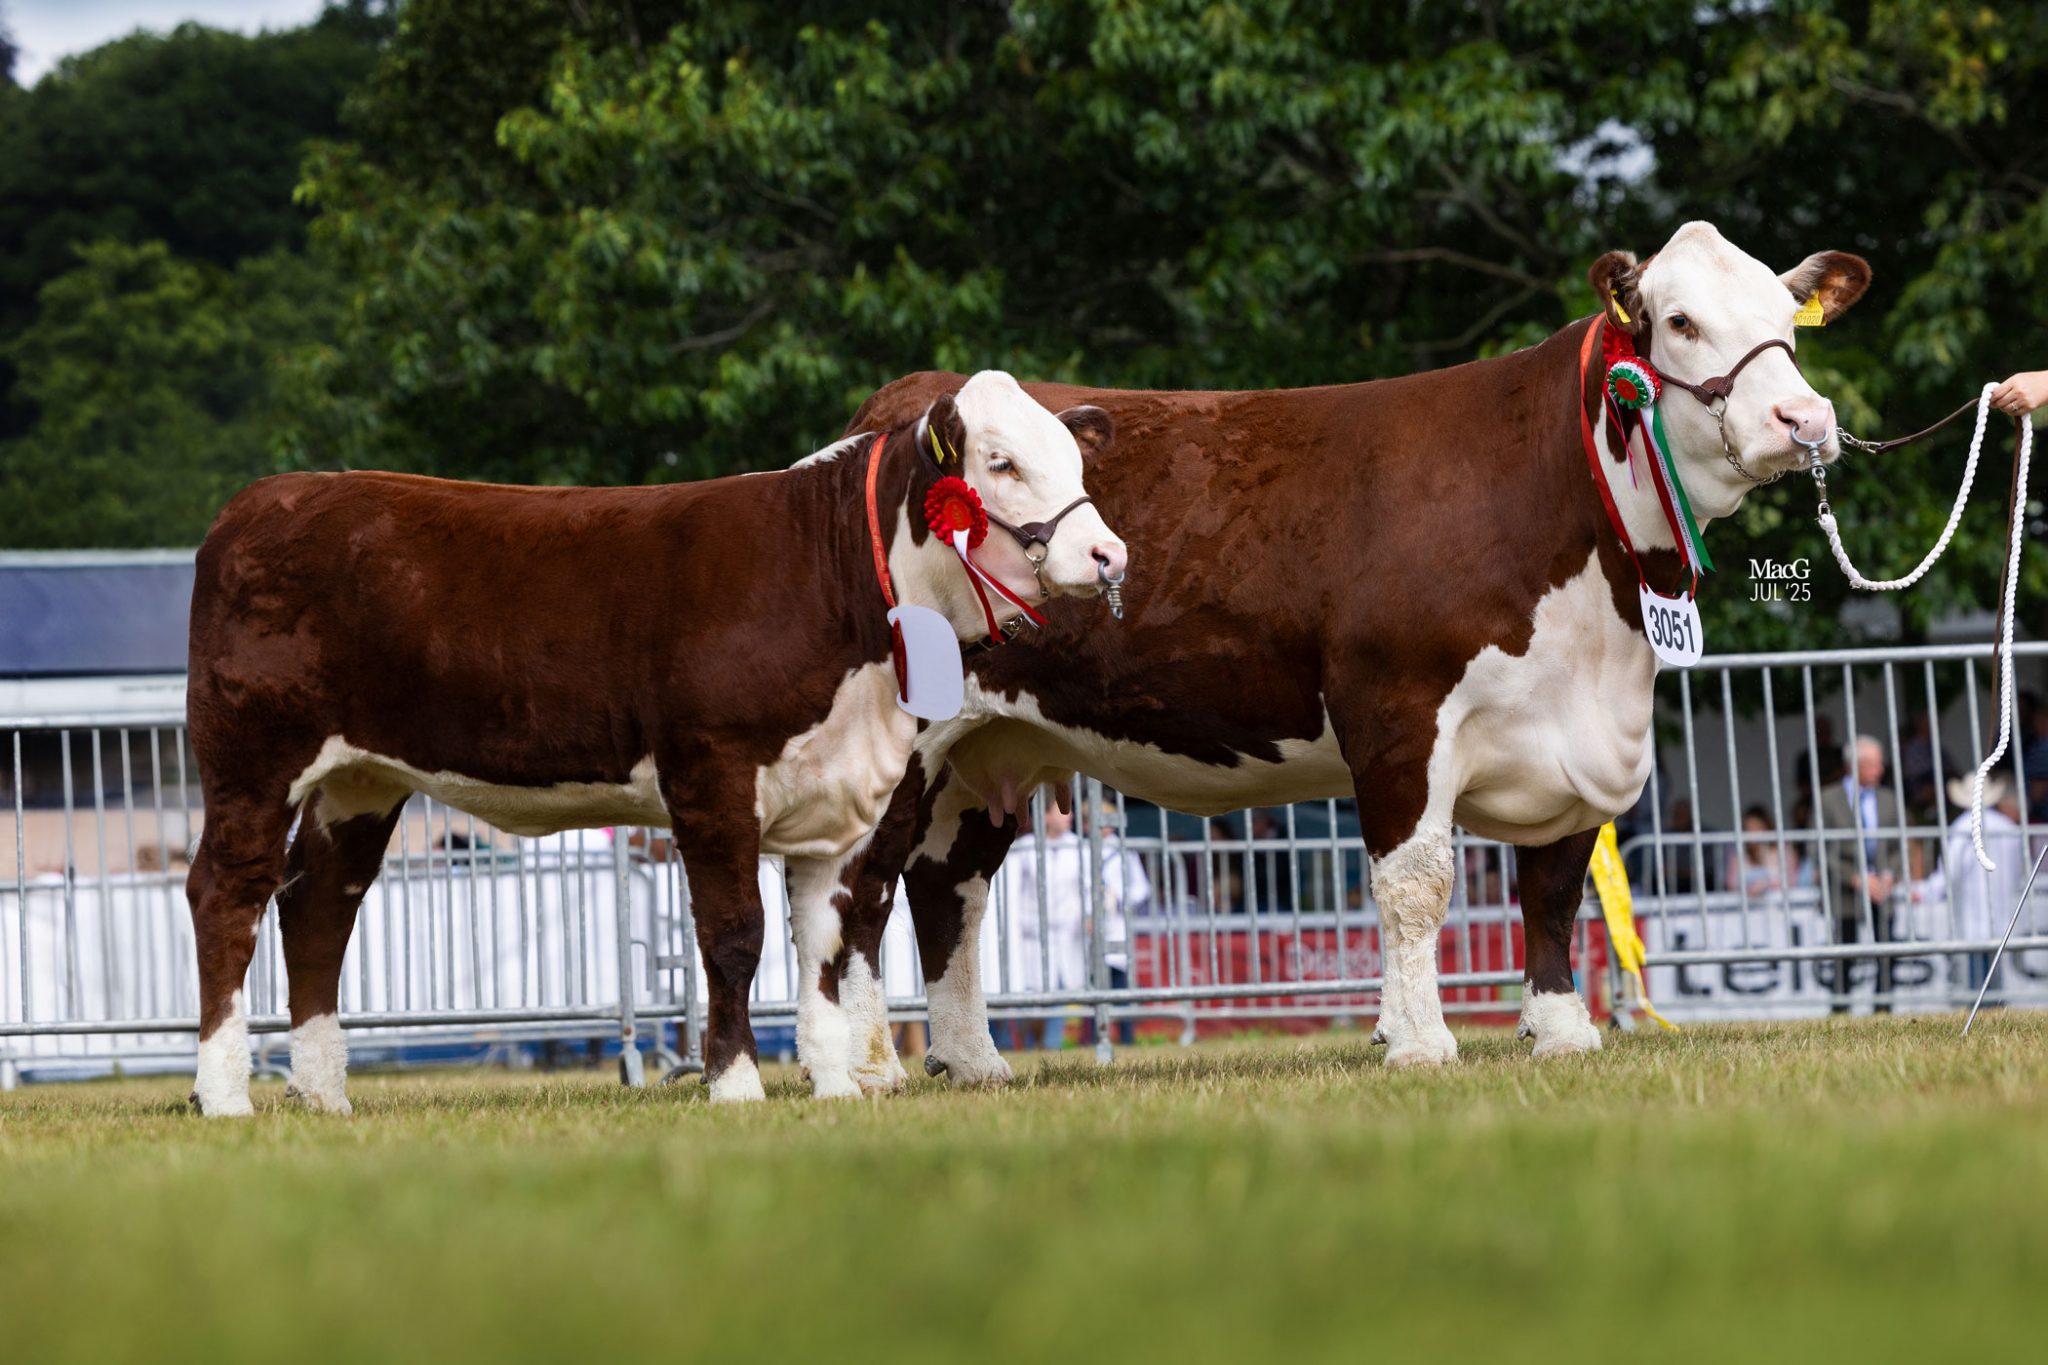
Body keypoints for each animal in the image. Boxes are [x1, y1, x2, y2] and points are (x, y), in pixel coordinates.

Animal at [182, 370, 1128, 1114]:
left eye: (1076, 460)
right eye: (1000, 463)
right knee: (227, 894)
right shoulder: (711, 771)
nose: (1107, 553)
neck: (835, 585)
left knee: (319, 904)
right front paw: (736, 1084)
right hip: (251, 757)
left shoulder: (835, 795)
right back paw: (225, 1094)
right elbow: (736, 933)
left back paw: (324, 1092)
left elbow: (820, 942)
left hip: (360, 777)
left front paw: (831, 1083)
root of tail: (262, 500)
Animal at [805, 222, 1870, 1090]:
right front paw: (1422, 1041)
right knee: (865, 887)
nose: (1805, 420)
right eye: (1680, 321)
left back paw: (970, 1058)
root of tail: (899, 405)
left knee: (948, 887)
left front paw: (1562, 1029)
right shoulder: (1397, 712)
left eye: (1789, 318)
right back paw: (869, 1065)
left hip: (986, 747)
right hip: (904, 744)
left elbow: (1555, 880)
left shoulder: (1578, 737)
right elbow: (1415, 884)